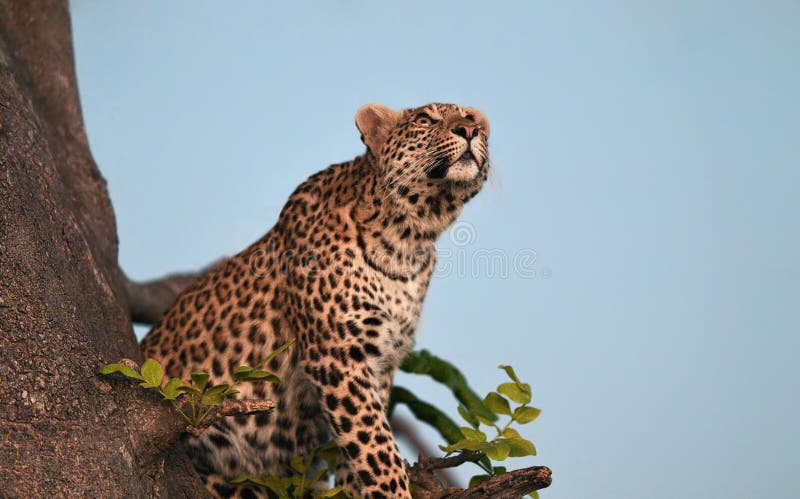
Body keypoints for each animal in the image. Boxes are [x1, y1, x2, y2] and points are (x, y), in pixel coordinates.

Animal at [140, 102, 491, 498]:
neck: (408, 241)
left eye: (472, 120)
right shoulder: (337, 355)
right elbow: (375, 444)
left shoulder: (381, 361)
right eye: (426, 120)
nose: (469, 130)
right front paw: (393, 492)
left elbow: (358, 448)